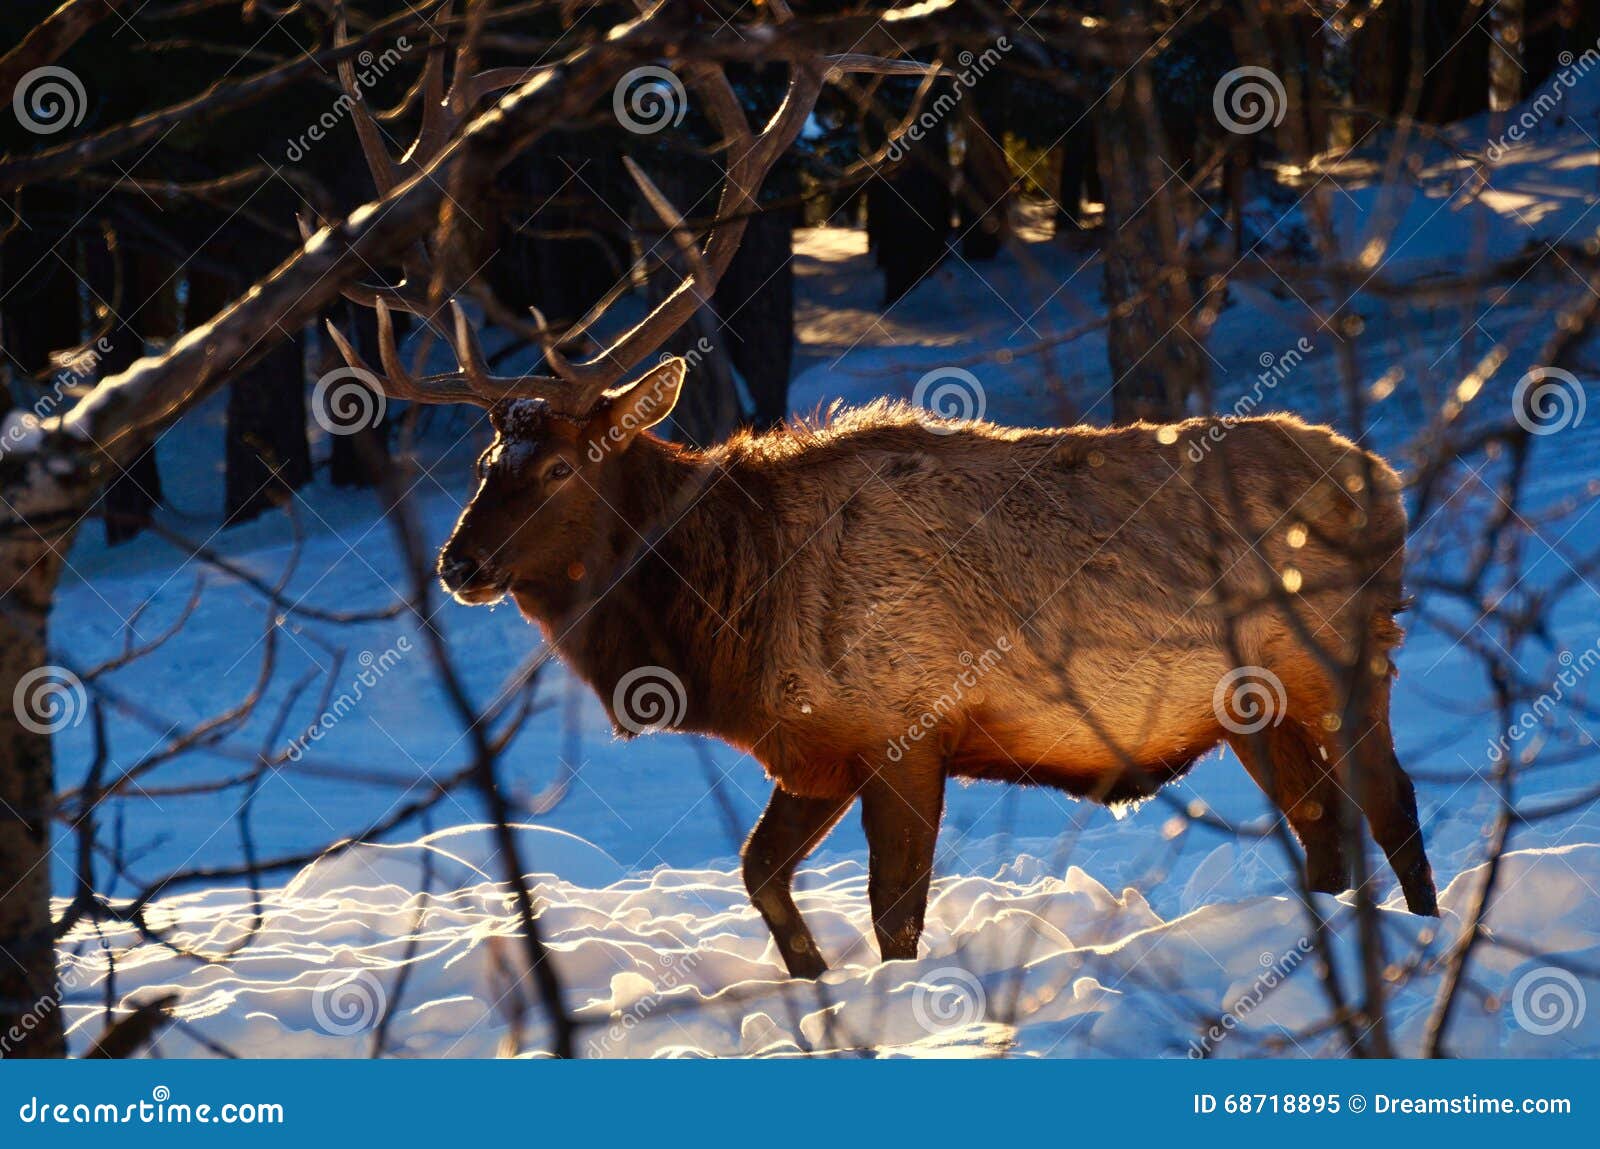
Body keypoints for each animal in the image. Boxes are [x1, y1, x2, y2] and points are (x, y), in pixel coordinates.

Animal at [320, 15, 1438, 981]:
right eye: (483, 460)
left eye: (559, 467)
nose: (458, 563)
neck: (736, 620)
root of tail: (1383, 481)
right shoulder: (815, 749)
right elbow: (759, 874)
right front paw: (811, 985)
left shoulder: (907, 725)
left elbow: (894, 915)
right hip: (1249, 702)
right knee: (1321, 824)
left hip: (1343, 652)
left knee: (1390, 803)